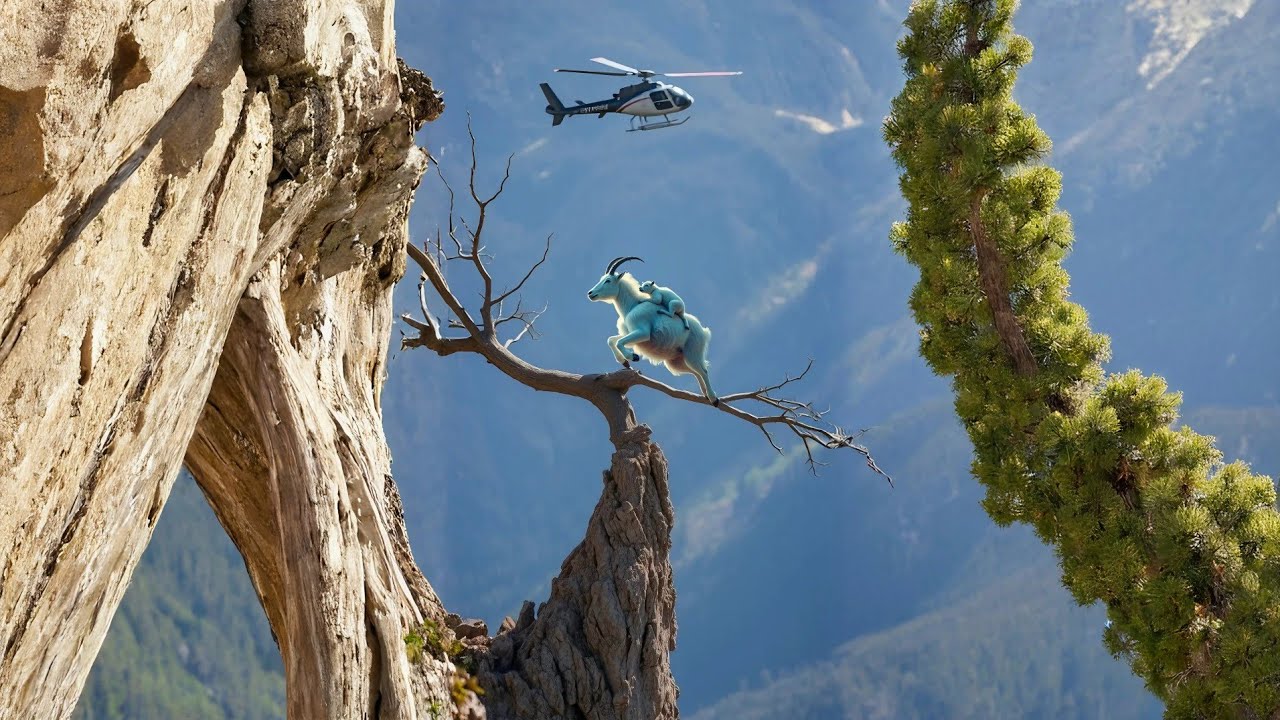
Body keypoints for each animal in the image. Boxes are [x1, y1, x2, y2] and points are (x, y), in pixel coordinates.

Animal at [587, 256, 718, 405]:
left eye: (608, 280)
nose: (590, 293)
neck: (632, 306)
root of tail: (704, 332)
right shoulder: (630, 334)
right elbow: (612, 340)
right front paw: (625, 361)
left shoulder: (643, 333)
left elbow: (619, 342)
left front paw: (633, 357)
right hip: (676, 362)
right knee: (696, 372)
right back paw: (705, 395)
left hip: (692, 353)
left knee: (703, 371)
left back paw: (714, 399)